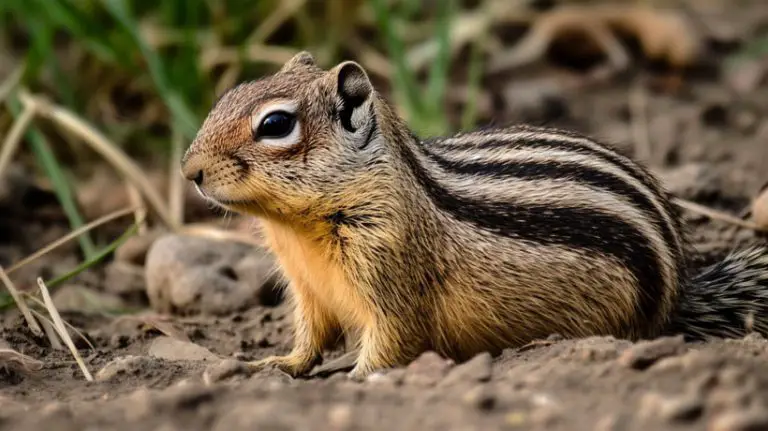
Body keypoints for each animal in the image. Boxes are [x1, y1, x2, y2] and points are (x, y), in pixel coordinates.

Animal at [181, 51, 768, 380]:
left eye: (276, 125)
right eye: (229, 94)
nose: (190, 170)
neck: (299, 229)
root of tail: (683, 295)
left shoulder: (392, 268)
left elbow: (394, 340)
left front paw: (358, 377)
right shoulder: (308, 289)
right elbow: (310, 336)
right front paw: (276, 365)